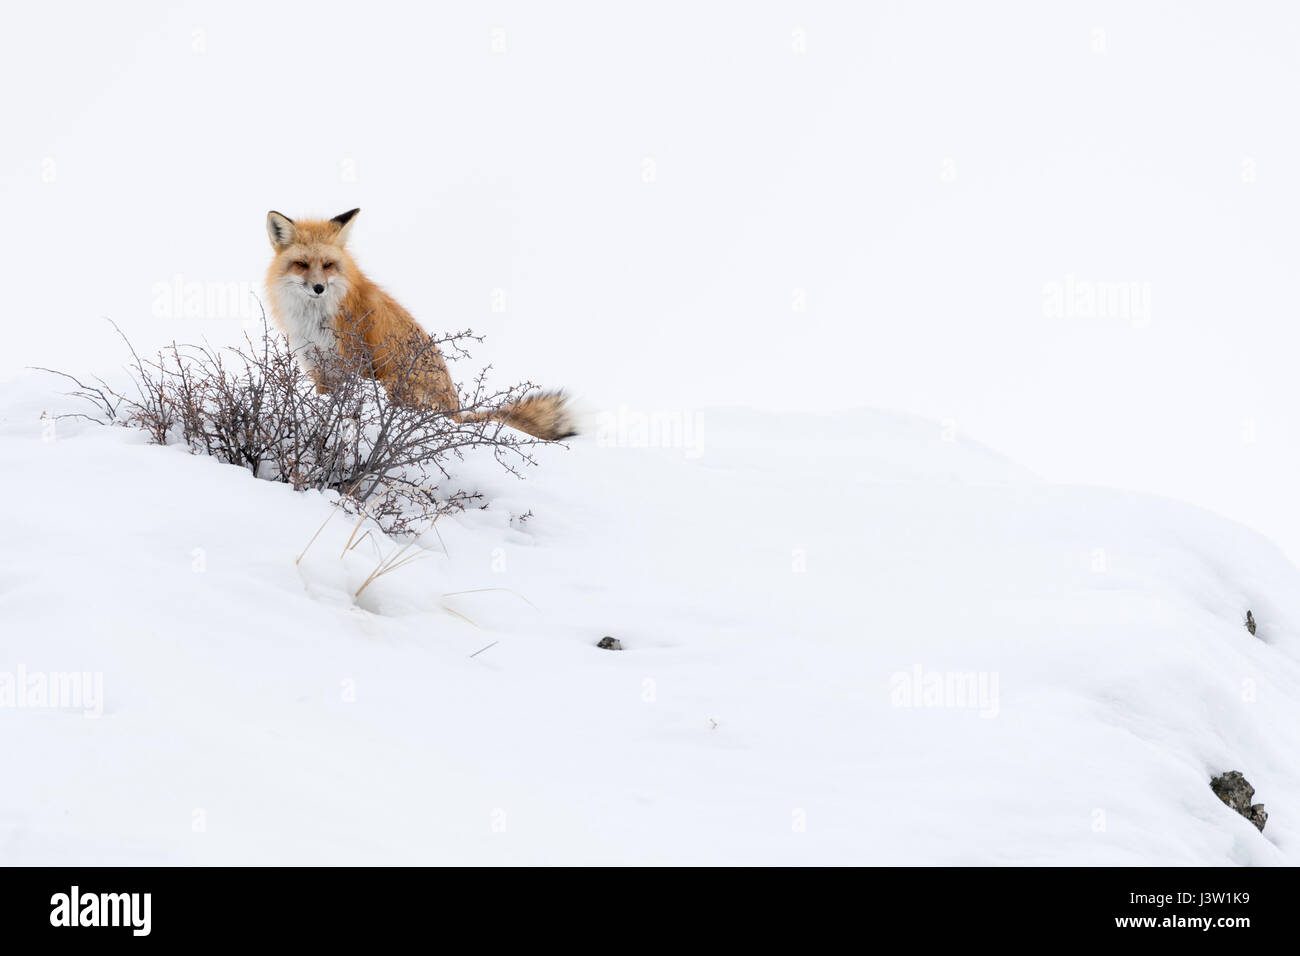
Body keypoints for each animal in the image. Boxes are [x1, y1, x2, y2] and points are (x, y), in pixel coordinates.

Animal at [264, 208, 575, 440]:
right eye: (302, 264)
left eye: (328, 265)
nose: (318, 288)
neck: (314, 318)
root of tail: (455, 415)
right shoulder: (319, 369)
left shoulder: (352, 364)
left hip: (393, 383)